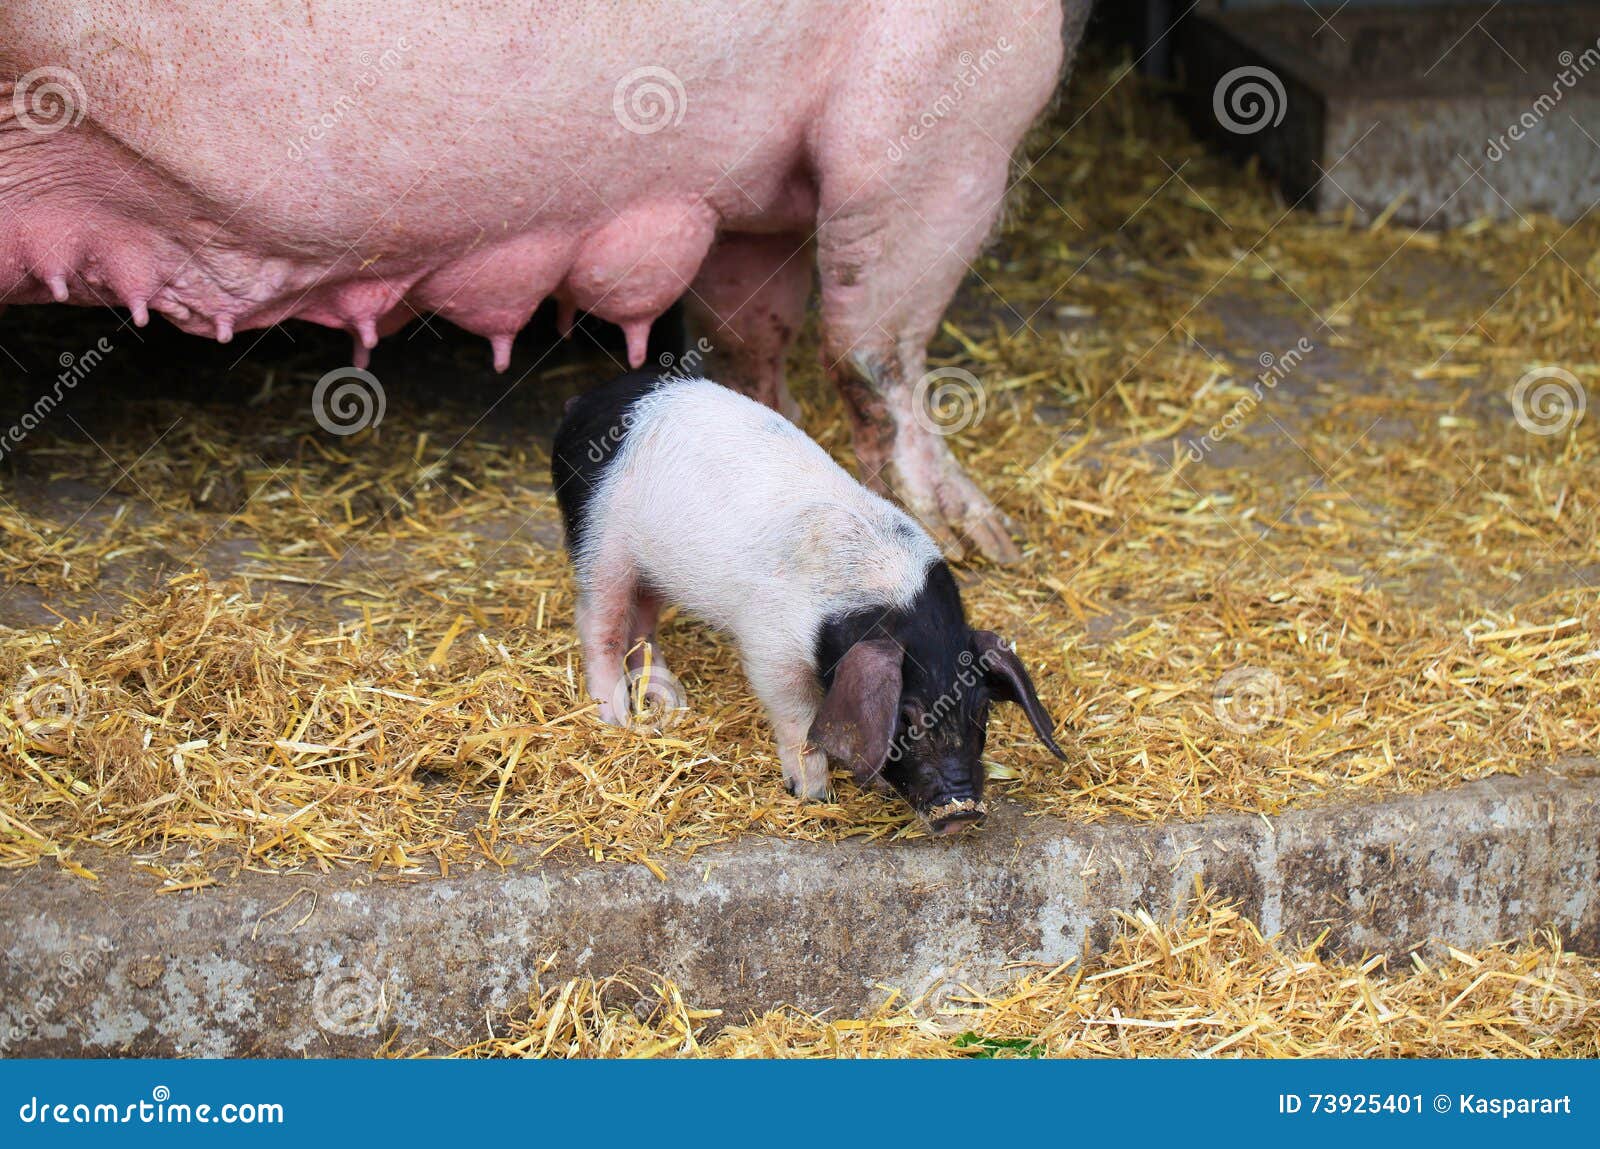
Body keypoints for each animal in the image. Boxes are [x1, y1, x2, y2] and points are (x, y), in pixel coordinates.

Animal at [552, 370, 1067, 834]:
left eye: (982, 710)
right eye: (906, 717)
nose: (961, 813)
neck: (884, 597)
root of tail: (584, 404)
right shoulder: (771, 649)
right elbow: (798, 717)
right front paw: (813, 794)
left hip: (654, 566)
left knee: (642, 624)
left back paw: (672, 703)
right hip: (600, 539)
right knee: (599, 622)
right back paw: (617, 716)